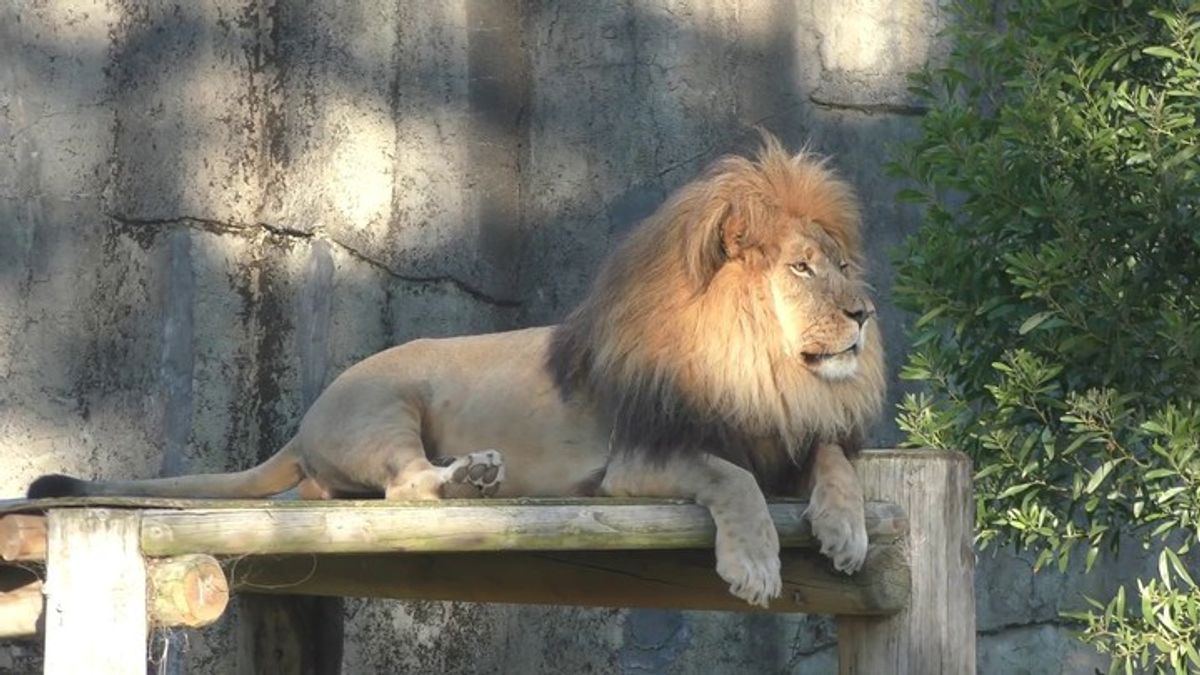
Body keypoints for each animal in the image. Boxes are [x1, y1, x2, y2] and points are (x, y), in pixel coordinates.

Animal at [28, 134, 885, 608]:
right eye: (803, 268)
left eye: (844, 263)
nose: (865, 313)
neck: (762, 366)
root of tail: (303, 423)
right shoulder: (644, 456)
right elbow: (730, 479)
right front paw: (754, 566)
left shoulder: (783, 430)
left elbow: (835, 460)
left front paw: (845, 532)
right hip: (387, 404)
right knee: (406, 487)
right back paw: (472, 475)